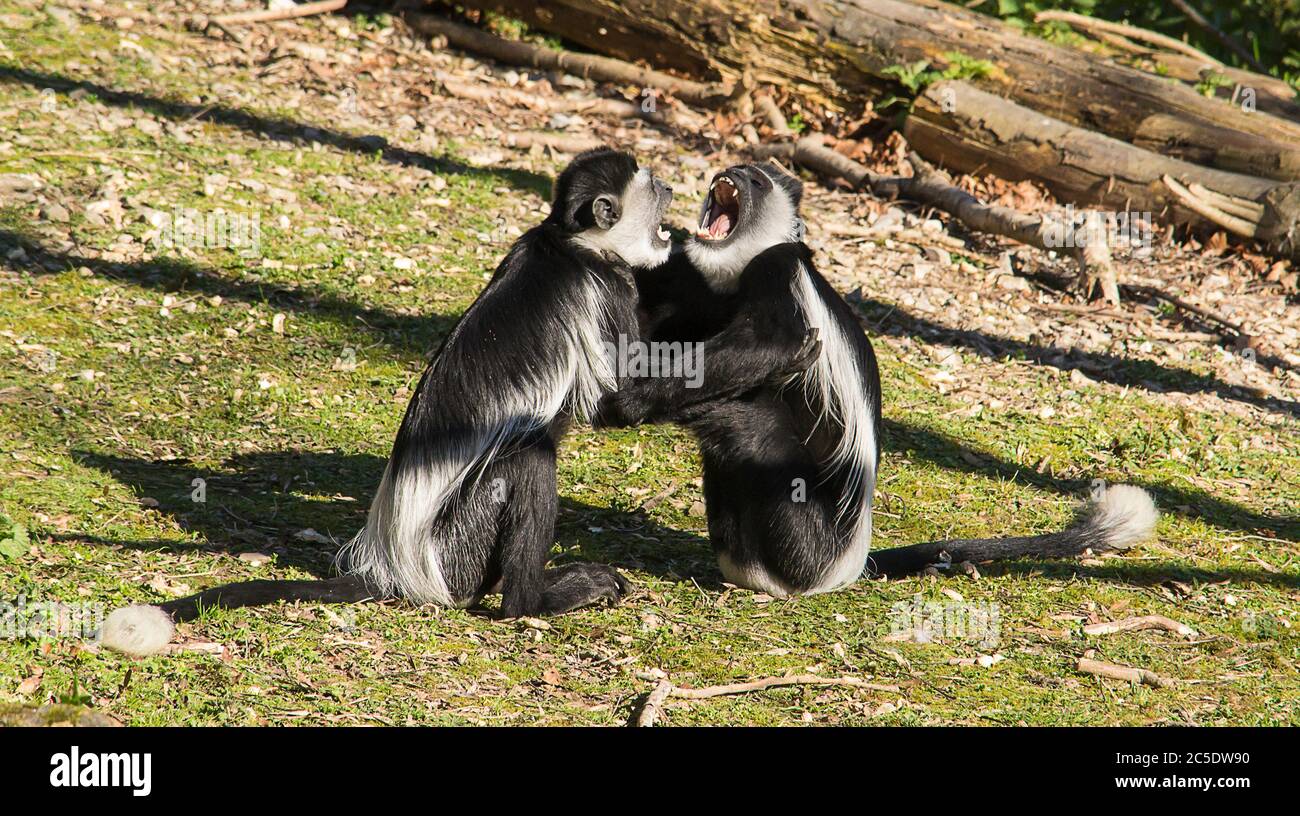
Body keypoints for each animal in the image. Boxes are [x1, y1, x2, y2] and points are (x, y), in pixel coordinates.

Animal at [100, 149, 708, 657]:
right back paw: (536, 599)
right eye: (656, 187)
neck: (574, 243)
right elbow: (615, 406)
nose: (673, 188)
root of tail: (391, 566)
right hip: (458, 550)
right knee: (528, 457)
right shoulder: (608, 284)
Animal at [598, 161, 1157, 597]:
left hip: (805, 536)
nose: (729, 174)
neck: (734, 272)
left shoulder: (778, 272)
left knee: (753, 435)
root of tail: (850, 562)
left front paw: (634, 398)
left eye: (754, 181)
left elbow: (775, 343)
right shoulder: (701, 285)